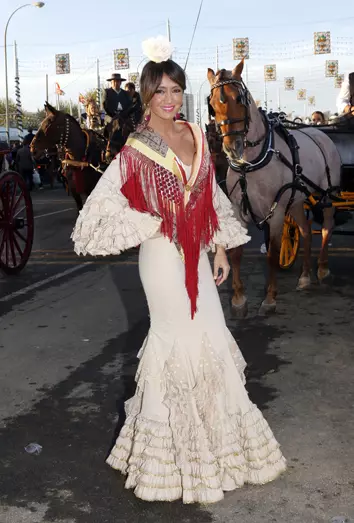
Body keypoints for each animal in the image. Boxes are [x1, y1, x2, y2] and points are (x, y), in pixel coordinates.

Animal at [207, 60, 340, 316]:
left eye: (239, 99)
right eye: (212, 105)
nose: (232, 147)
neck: (250, 164)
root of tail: (321, 133)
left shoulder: (276, 211)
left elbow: (272, 254)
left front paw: (269, 298)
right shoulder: (238, 209)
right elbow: (236, 253)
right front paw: (238, 299)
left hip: (327, 195)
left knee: (326, 228)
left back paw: (322, 269)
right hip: (296, 200)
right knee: (306, 231)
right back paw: (305, 276)